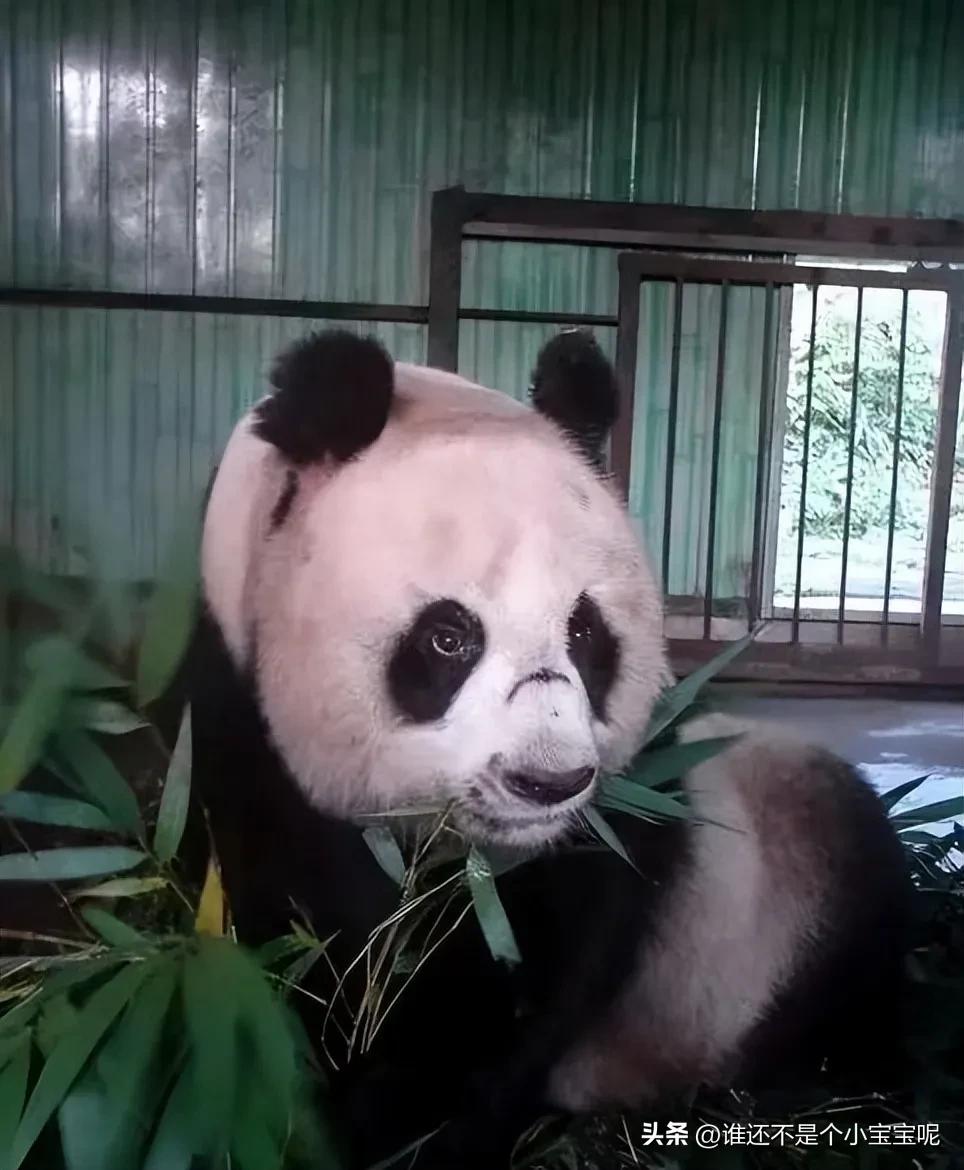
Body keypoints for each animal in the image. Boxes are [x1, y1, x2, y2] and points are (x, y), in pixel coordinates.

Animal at [187, 328, 913, 1169]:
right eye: (448, 637)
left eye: (585, 632)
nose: (548, 780)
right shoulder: (240, 721)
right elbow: (297, 924)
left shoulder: (624, 810)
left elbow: (551, 972)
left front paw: (427, 1124)